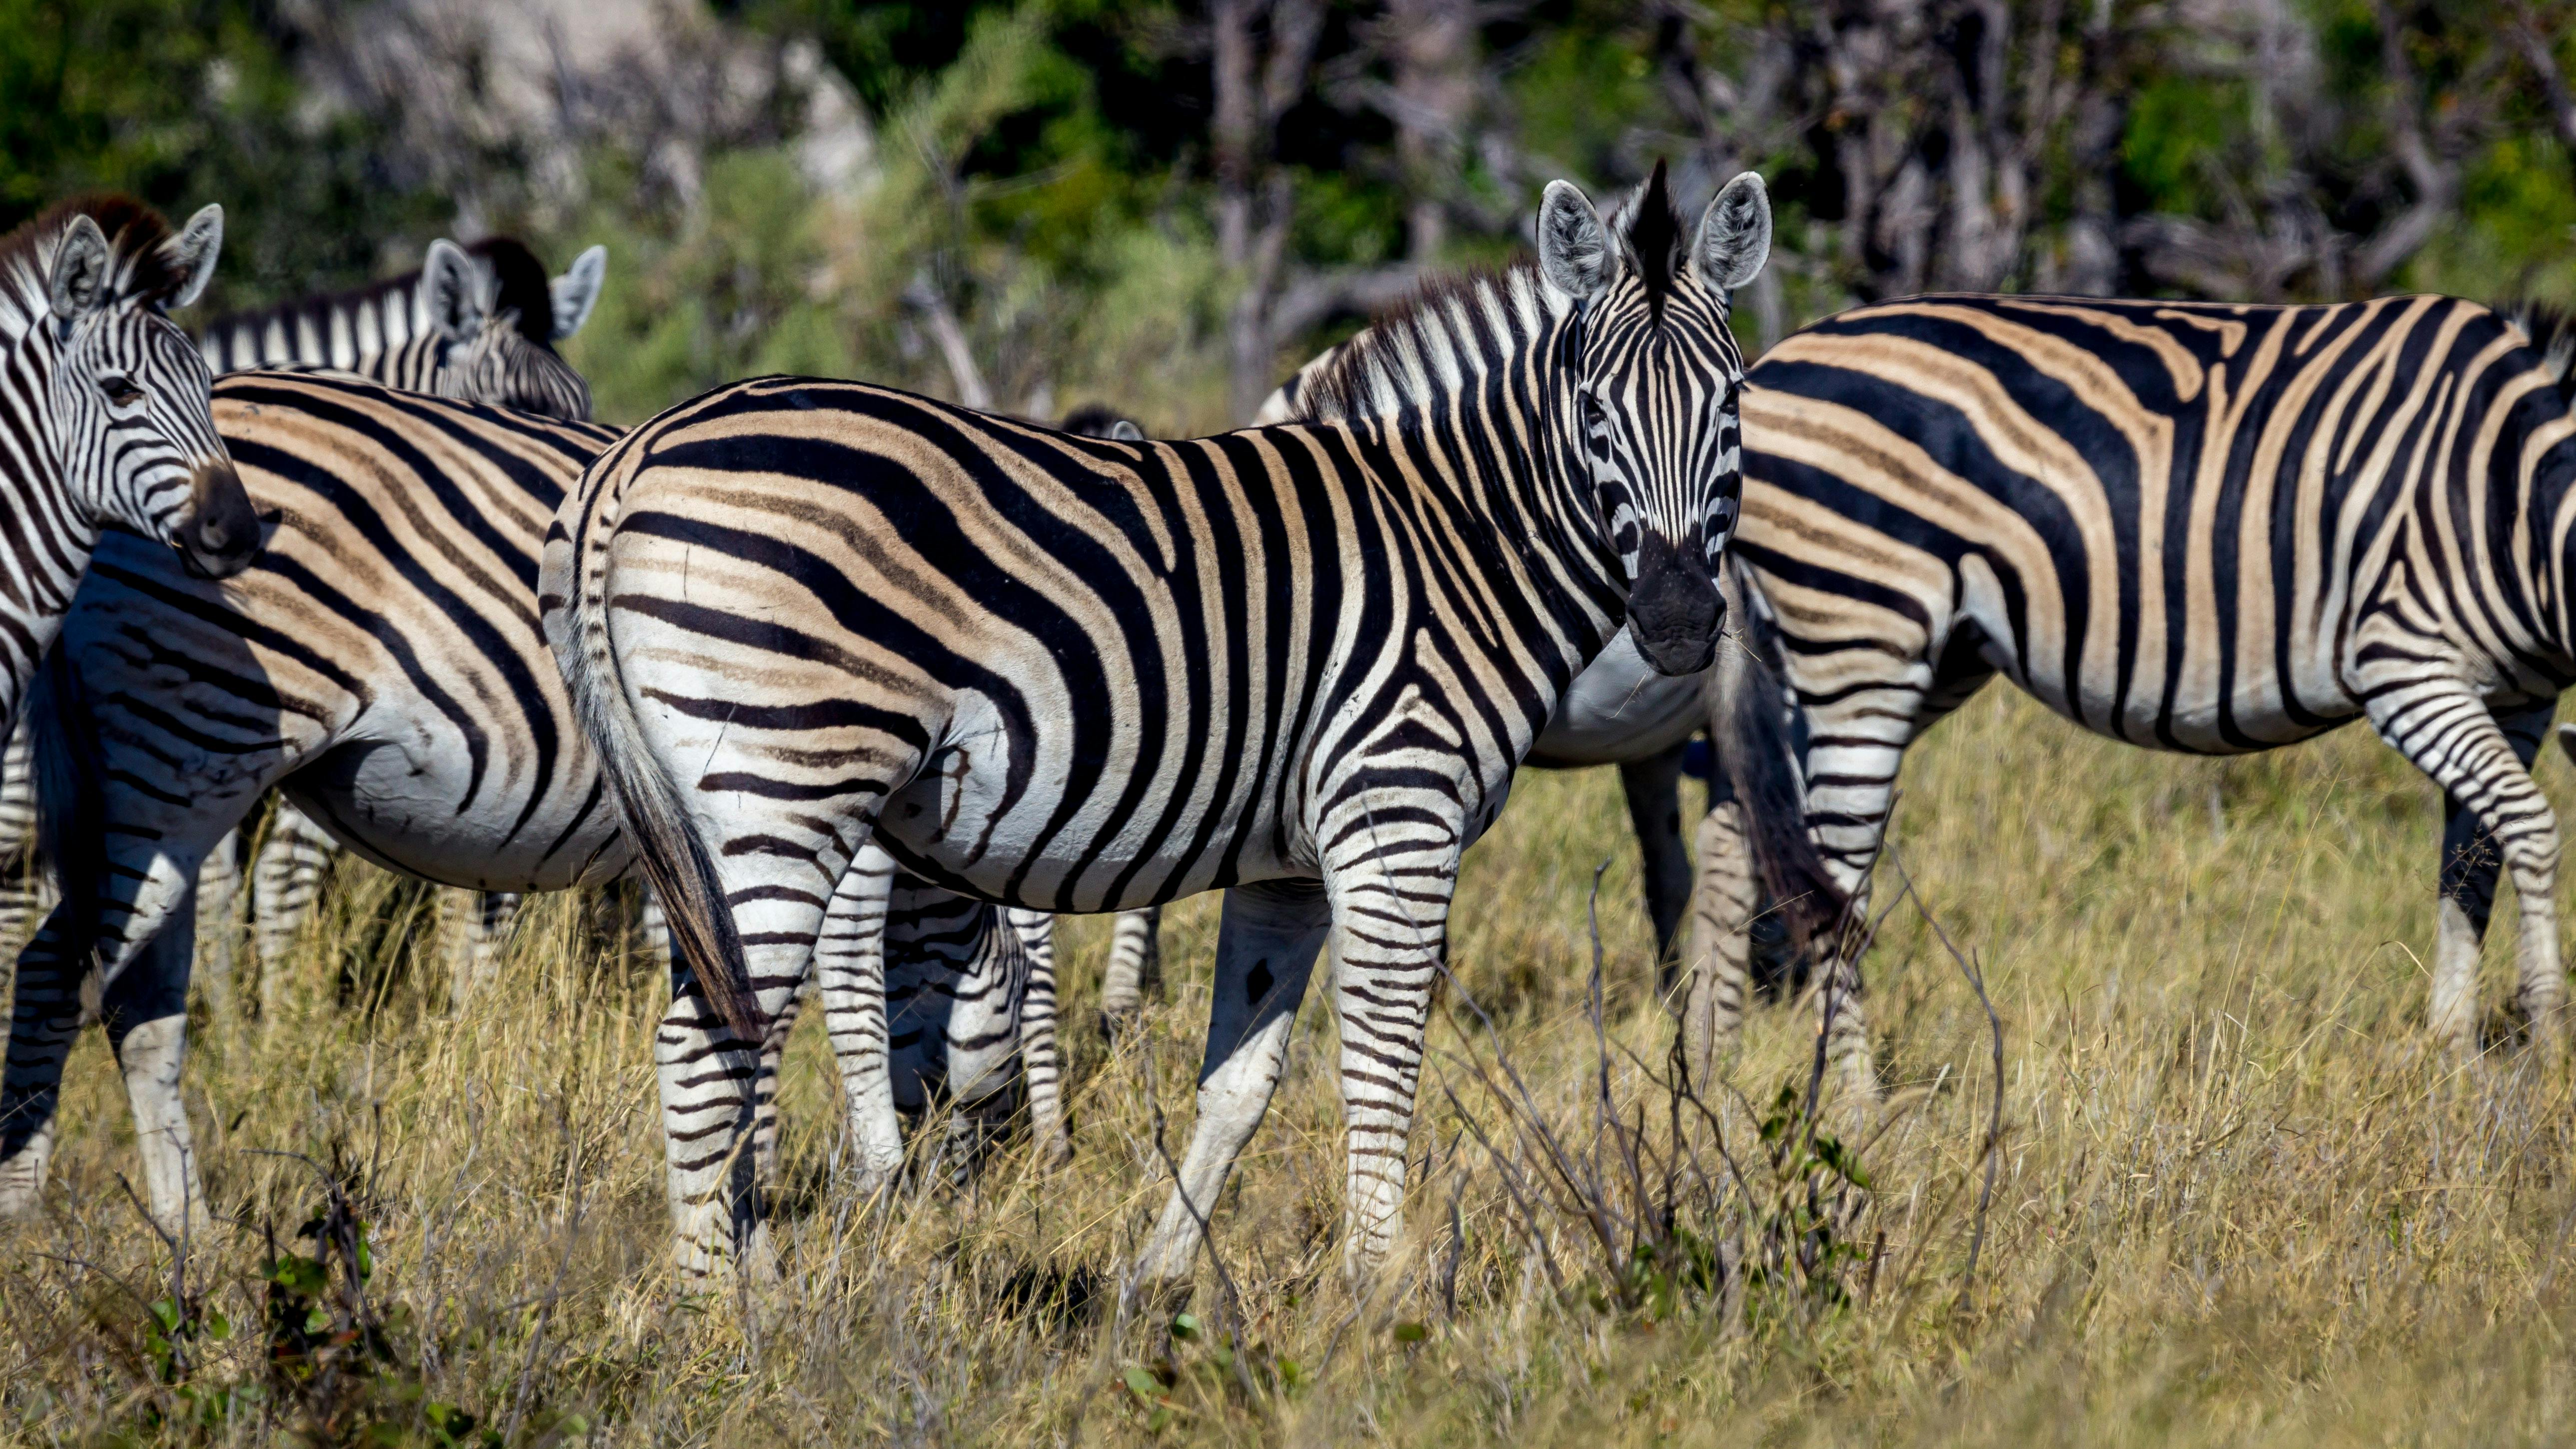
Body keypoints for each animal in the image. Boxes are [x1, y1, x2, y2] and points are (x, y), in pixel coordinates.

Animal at [0, 371, 1065, 1240]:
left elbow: (748, 1000)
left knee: (130, 983)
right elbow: (838, 987)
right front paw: (857, 1180)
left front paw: (754, 1186)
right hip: (189, 747)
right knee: (66, 966)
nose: (1008, 1183)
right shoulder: (822, 804)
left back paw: (178, 1231)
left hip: (170, 770)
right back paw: (30, 1205)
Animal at [547, 163, 1789, 1283]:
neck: (1459, 536)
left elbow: (1241, 1082)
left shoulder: (1291, 863)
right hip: (784, 777)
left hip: (715, 808)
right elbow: (1384, 1057)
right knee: (708, 1046)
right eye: (1594, 415)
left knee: (725, 1029)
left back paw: (750, 1273)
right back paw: (730, 1321)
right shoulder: (1398, 812)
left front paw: (1161, 1287)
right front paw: (1380, 1298)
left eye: (1733, 406)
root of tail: (639, 447)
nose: (1681, 623)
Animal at [1693, 293, 2576, 1095]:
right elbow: (2531, 828)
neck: (2511, 498)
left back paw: (1715, 1069)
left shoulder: (2514, 698)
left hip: (1887, 655)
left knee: (1741, 831)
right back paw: (1855, 1102)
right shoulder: (2405, 666)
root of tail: (1766, 365)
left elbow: (2470, 861)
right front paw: (2547, 1046)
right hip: (1859, 633)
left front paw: (2455, 1056)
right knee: (1828, 870)